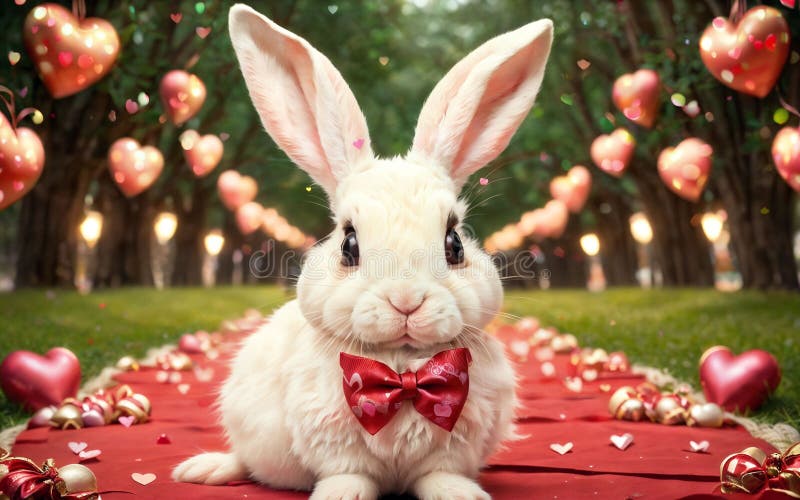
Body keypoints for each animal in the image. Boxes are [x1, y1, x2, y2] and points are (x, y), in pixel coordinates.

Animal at [172, 4, 553, 499]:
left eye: (454, 243)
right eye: (348, 243)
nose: (406, 301)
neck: (403, 371)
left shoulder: (457, 443)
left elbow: (440, 472)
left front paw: (460, 493)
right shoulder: (331, 439)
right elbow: (348, 471)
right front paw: (341, 494)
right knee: (248, 461)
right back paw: (205, 469)